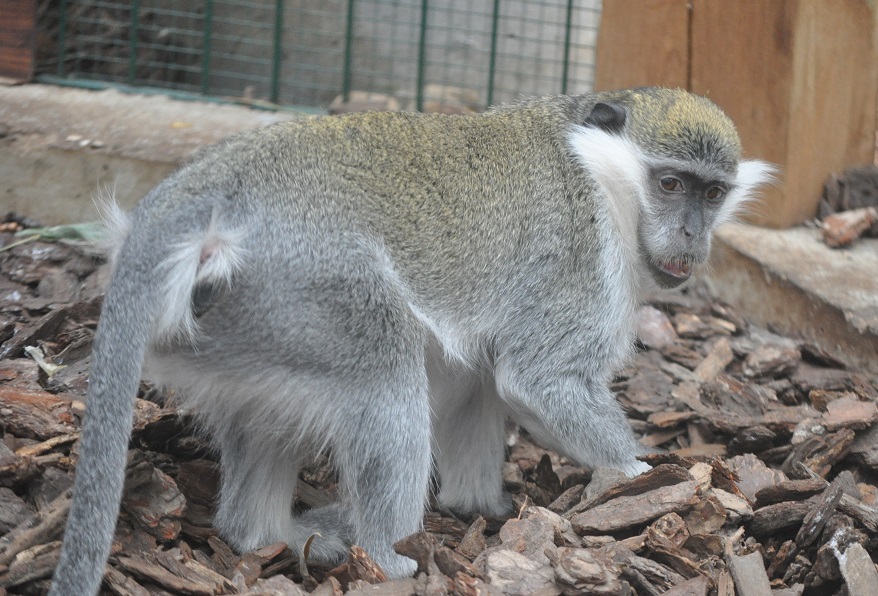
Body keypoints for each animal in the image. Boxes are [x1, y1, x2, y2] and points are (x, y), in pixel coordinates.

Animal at [48, 87, 772, 595]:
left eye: (712, 193)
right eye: (670, 183)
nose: (692, 235)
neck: (603, 177)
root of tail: (201, 188)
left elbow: (483, 387)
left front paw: (482, 506)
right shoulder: (579, 255)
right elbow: (537, 381)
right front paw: (648, 483)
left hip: (249, 320)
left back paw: (265, 534)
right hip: (302, 280)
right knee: (383, 369)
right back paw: (391, 562)